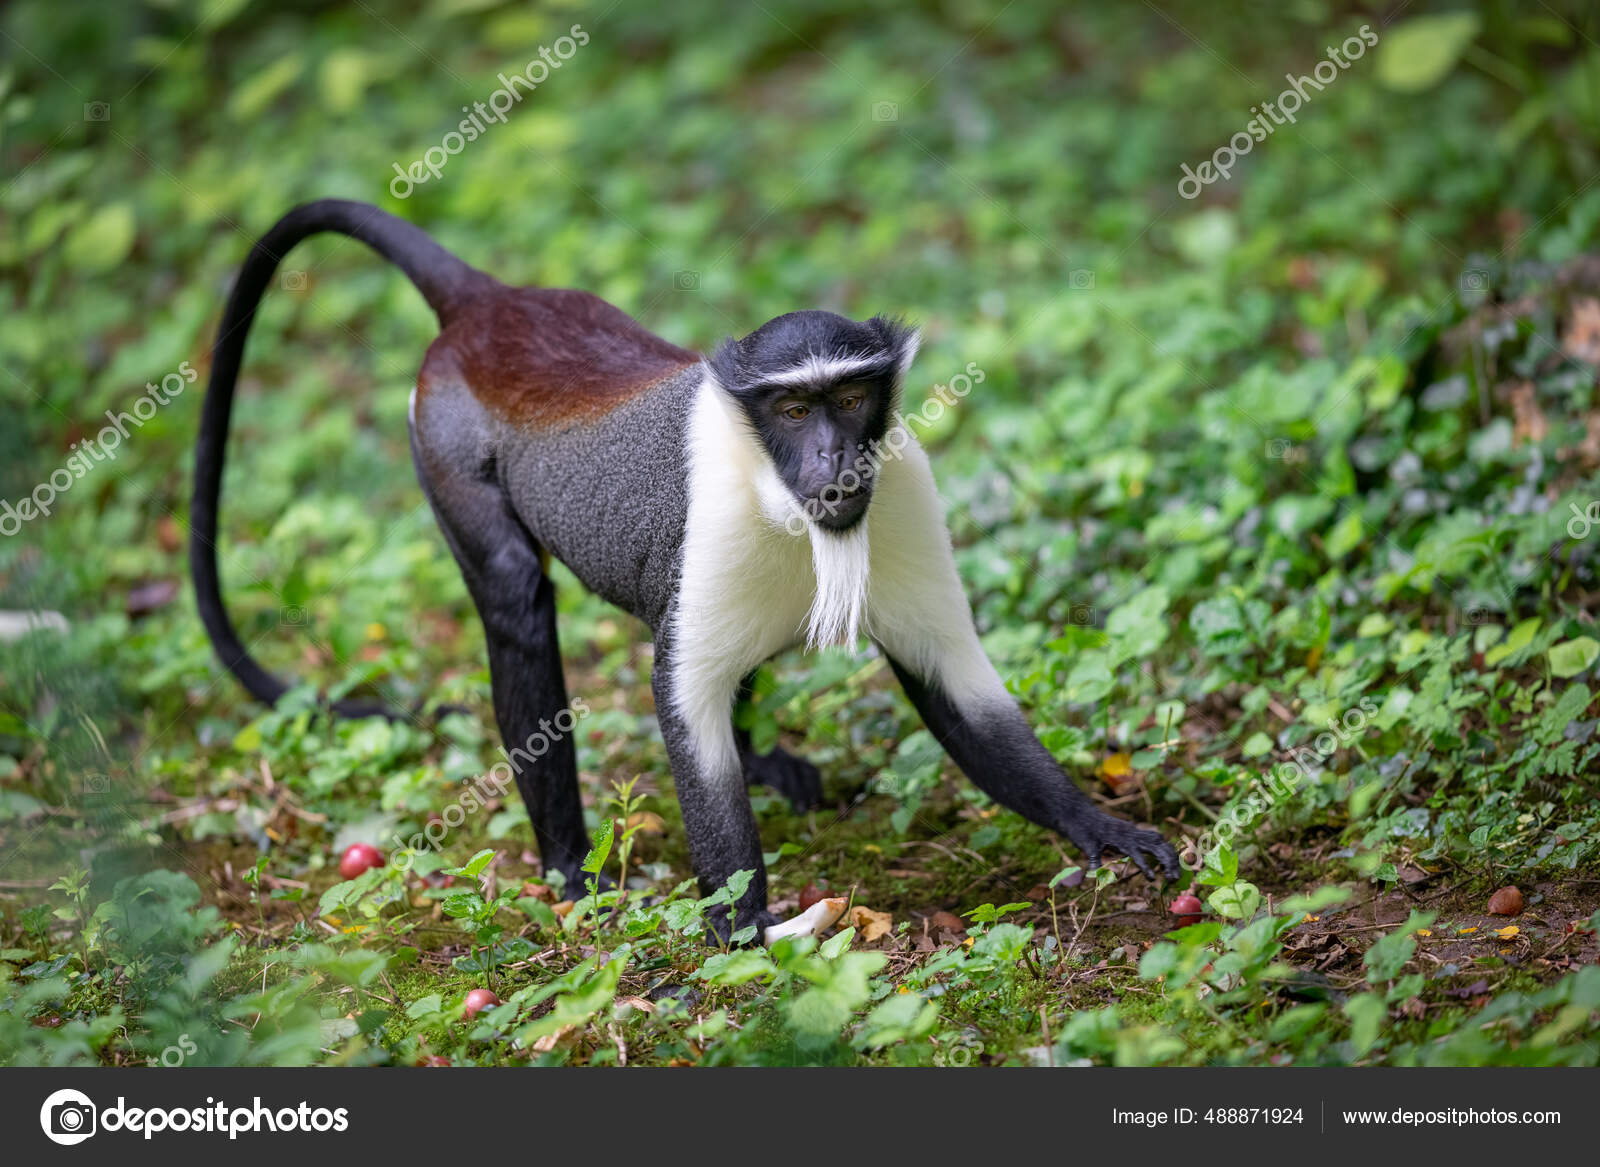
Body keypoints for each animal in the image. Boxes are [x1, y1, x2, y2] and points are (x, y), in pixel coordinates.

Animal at [192, 199, 1178, 940]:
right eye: (793, 409)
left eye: (852, 397)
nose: (834, 462)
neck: (782, 496)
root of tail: (488, 302)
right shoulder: (714, 533)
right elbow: (686, 698)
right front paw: (742, 925)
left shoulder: (903, 493)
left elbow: (955, 684)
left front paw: (1099, 824)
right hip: (444, 449)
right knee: (515, 598)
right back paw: (570, 871)